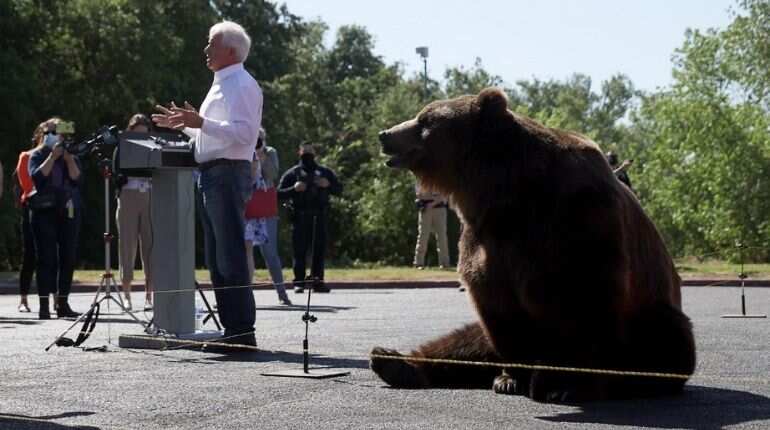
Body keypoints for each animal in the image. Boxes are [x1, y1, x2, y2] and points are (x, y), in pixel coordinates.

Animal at [372, 87, 696, 403]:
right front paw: (510, 378)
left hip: (652, 318)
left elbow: (588, 304)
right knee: (465, 340)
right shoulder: (486, 240)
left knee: (663, 341)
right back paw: (391, 361)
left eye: (425, 121)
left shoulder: (577, 221)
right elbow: (498, 309)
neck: (503, 193)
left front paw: (569, 386)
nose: (385, 134)